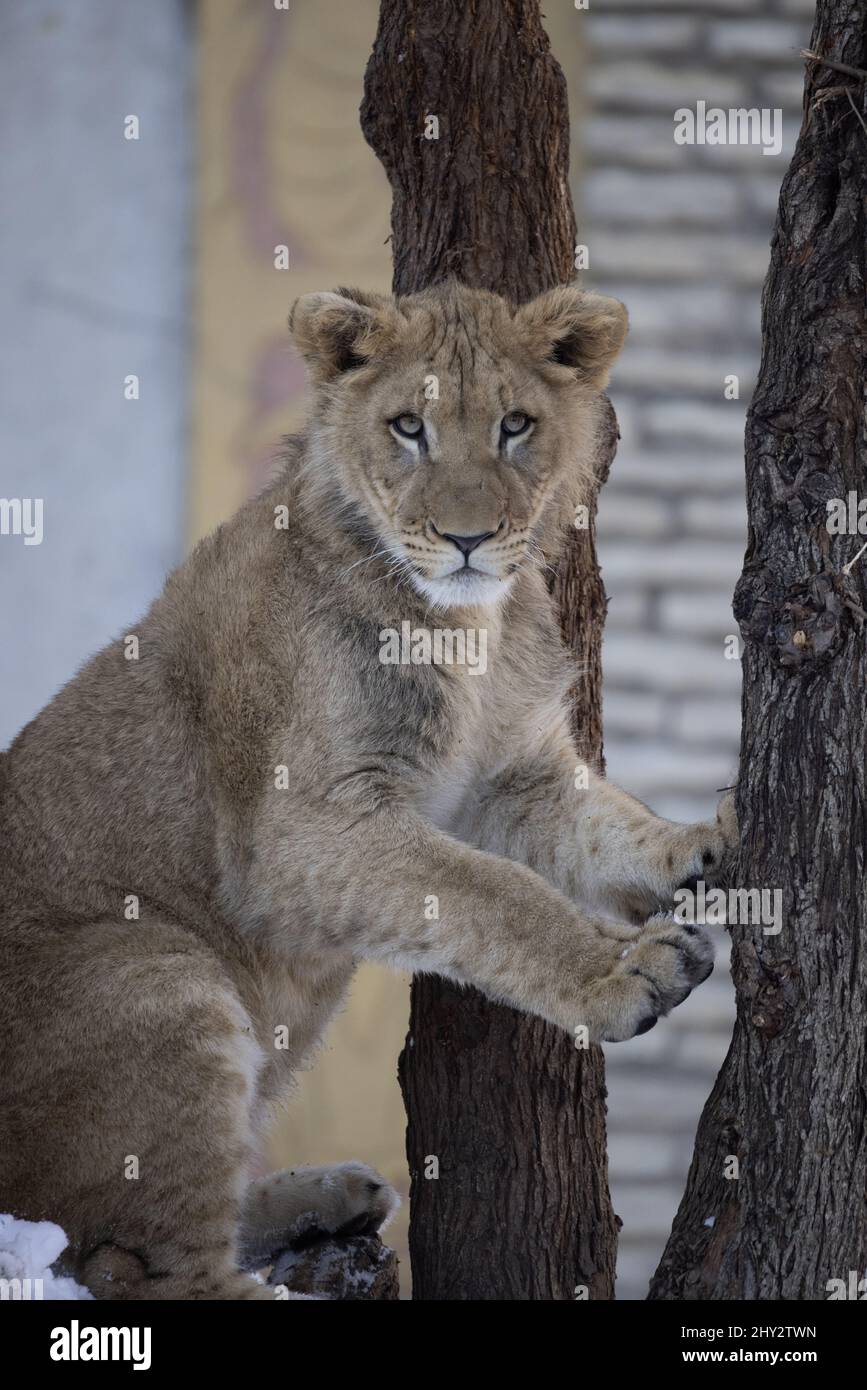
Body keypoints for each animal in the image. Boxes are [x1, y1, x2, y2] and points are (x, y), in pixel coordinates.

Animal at [0, 281, 736, 1299]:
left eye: (515, 425)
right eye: (406, 428)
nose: (467, 539)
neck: (468, 628)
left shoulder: (505, 782)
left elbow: (599, 826)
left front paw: (703, 841)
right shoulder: (299, 830)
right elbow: (492, 893)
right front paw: (627, 972)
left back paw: (335, 1196)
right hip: (153, 971)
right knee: (143, 1267)